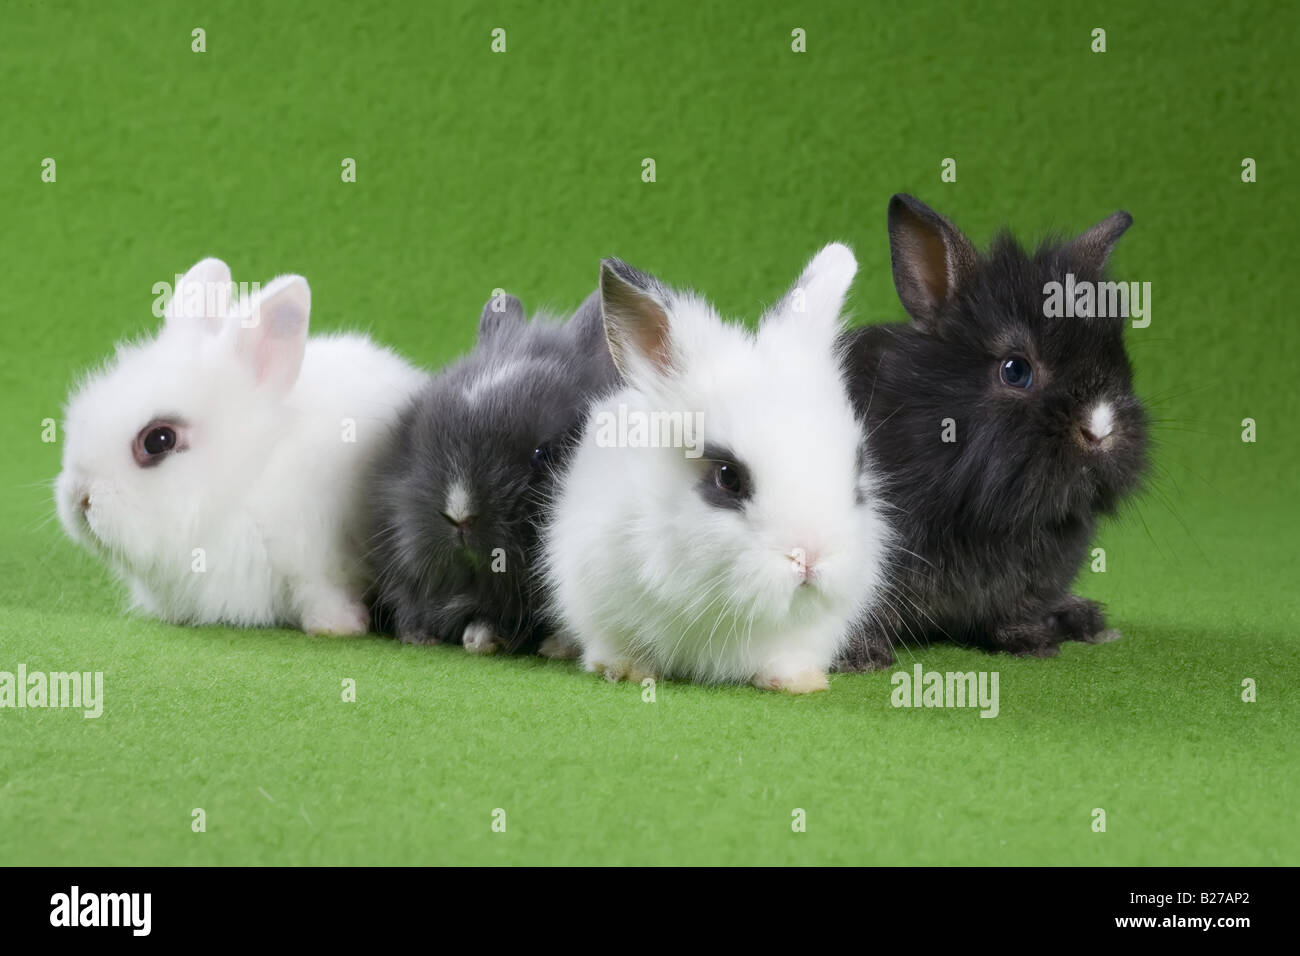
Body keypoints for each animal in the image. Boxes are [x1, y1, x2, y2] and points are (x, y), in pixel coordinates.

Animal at [54, 257, 428, 634]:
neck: (248, 477)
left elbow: (321, 590)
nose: (80, 498)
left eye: (159, 440)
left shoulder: (314, 558)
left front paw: (336, 626)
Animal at [541, 244, 892, 693]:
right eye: (728, 477)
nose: (810, 557)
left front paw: (801, 682)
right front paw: (626, 669)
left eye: (856, 469)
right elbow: (612, 643)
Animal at [835, 194, 1150, 670]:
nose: (1100, 430)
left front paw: (1033, 642)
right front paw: (862, 657)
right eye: (1015, 370)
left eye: (1120, 363)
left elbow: (1016, 614)